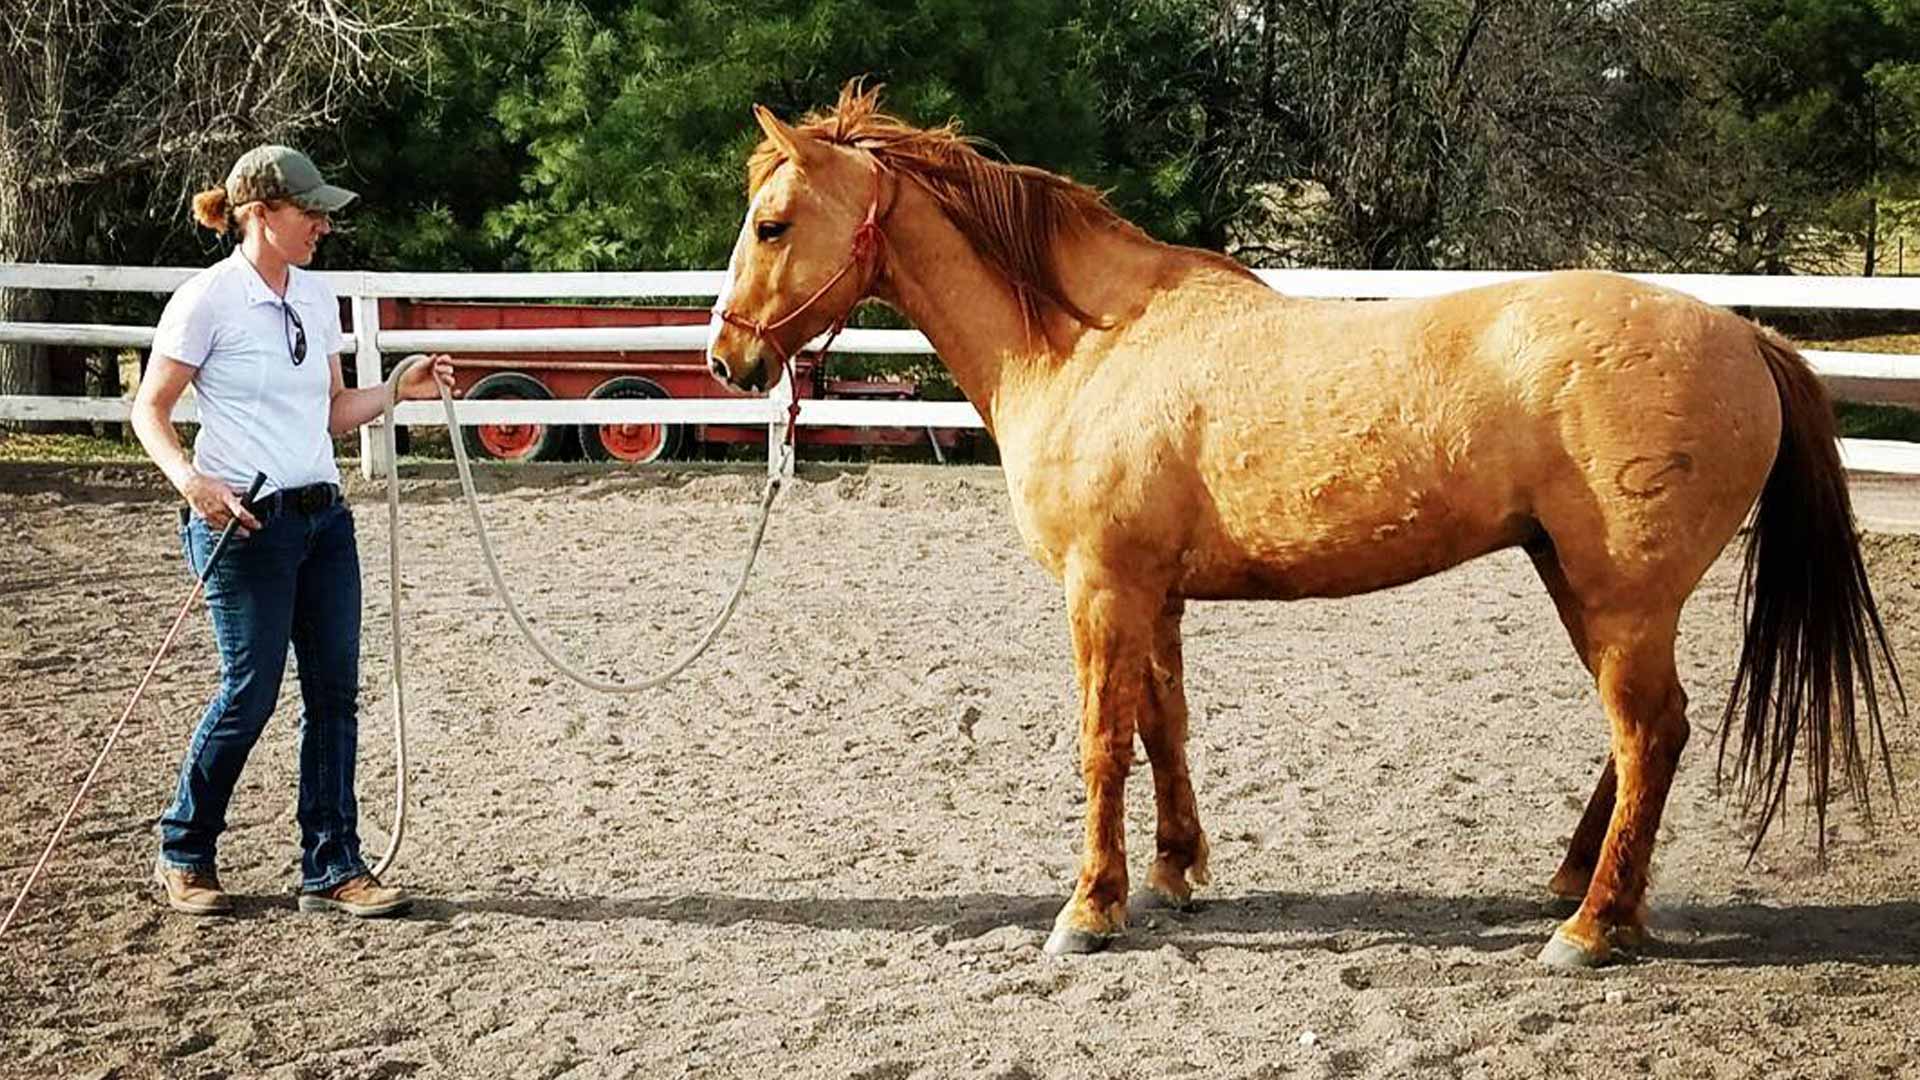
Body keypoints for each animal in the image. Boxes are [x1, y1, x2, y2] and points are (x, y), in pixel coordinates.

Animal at [705, 82, 1905, 967]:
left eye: (772, 224)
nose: (728, 359)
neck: (1089, 340)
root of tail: (1744, 334)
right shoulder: (1153, 594)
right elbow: (1162, 727)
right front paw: (1174, 874)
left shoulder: (1102, 589)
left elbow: (1101, 744)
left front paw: (1089, 910)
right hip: (1580, 583)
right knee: (1642, 738)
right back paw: (1580, 886)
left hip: (1623, 595)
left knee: (1650, 733)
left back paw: (1590, 927)